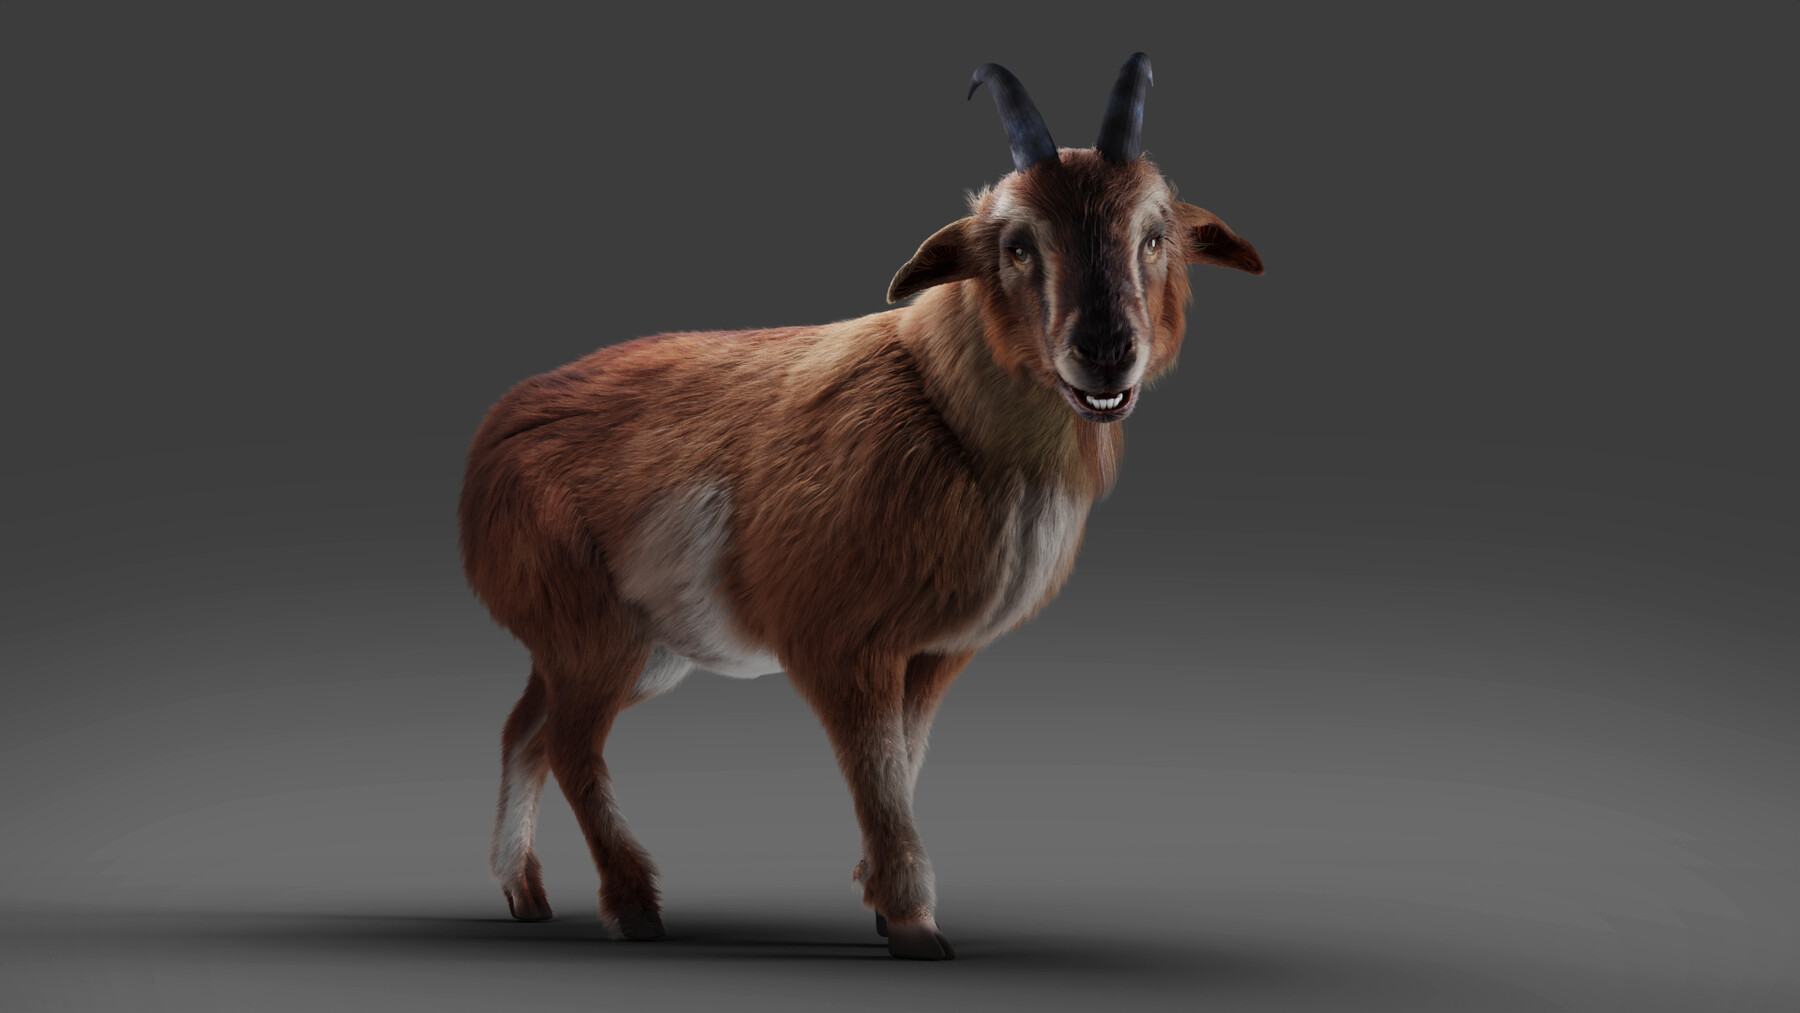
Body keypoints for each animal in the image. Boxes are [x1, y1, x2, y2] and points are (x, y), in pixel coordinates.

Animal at [458, 53, 1264, 960]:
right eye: (1017, 244)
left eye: (1154, 235)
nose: (1104, 351)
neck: (942, 408)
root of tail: (488, 441)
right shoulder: (839, 642)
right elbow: (877, 772)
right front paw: (915, 922)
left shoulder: (932, 653)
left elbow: (903, 761)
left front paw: (879, 899)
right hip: (593, 630)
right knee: (568, 743)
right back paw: (632, 905)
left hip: (617, 642)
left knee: (524, 728)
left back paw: (525, 892)